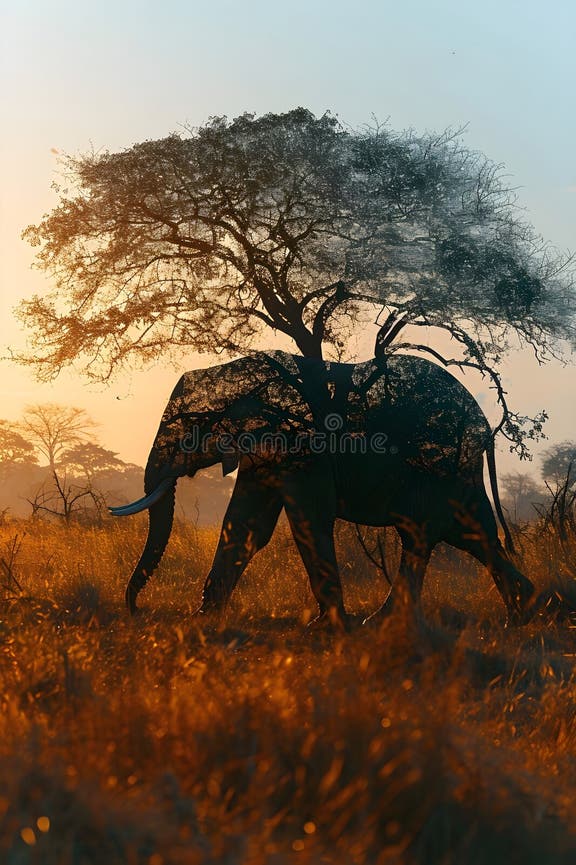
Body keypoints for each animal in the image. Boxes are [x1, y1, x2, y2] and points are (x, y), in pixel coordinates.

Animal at [110, 350, 537, 628]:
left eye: (187, 430)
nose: (136, 610)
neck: (233, 369)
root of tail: (485, 424)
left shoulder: (304, 448)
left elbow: (307, 521)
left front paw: (326, 626)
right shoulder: (268, 452)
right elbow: (245, 525)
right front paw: (202, 618)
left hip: (441, 464)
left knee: (431, 533)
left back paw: (380, 622)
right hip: (456, 472)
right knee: (467, 534)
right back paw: (521, 614)